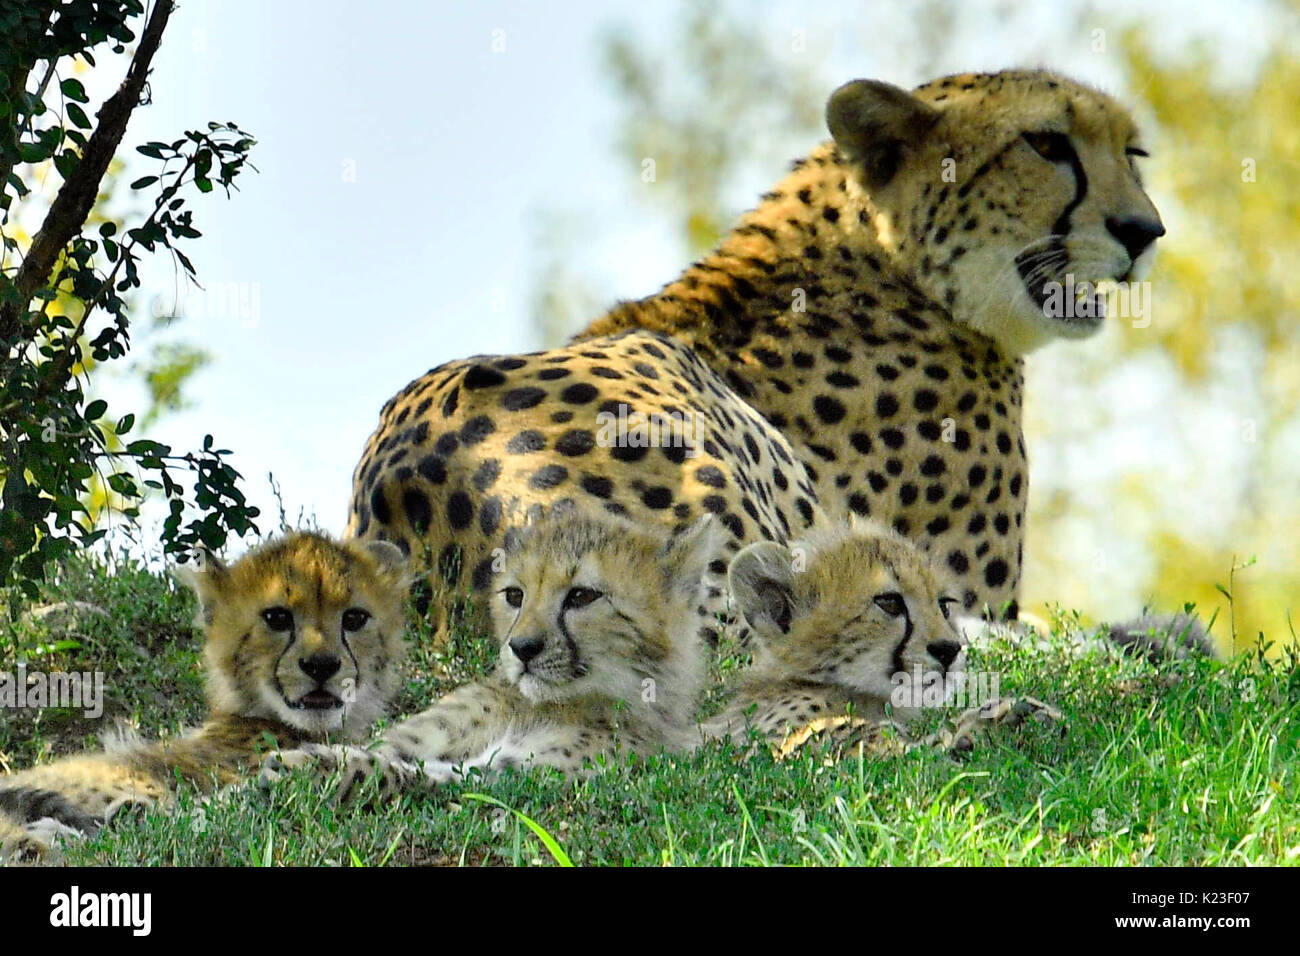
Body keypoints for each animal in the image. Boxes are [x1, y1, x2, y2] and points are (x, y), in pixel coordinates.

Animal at [259, 511, 721, 800]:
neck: (545, 706)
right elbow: (392, 752)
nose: (523, 648)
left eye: (583, 596)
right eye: (515, 595)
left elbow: (424, 774)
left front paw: (315, 770)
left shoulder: (522, 772)